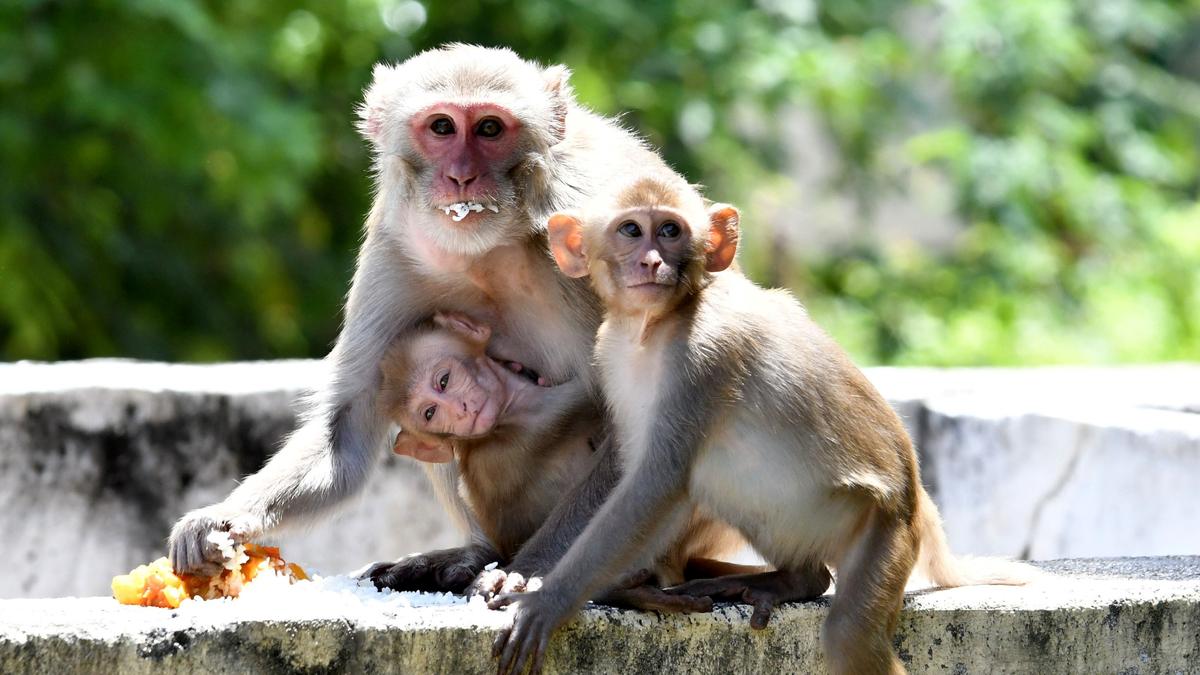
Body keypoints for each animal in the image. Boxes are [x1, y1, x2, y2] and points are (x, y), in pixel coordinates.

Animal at [490, 172, 1035, 675]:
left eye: (669, 230)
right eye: (630, 230)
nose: (651, 262)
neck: (654, 326)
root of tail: (914, 497)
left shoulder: (704, 358)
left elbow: (657, 484)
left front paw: (545, 602)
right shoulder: (610, 352)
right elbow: (628, 467)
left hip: (885, 533)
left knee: (849, 633)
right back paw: (790, 580)